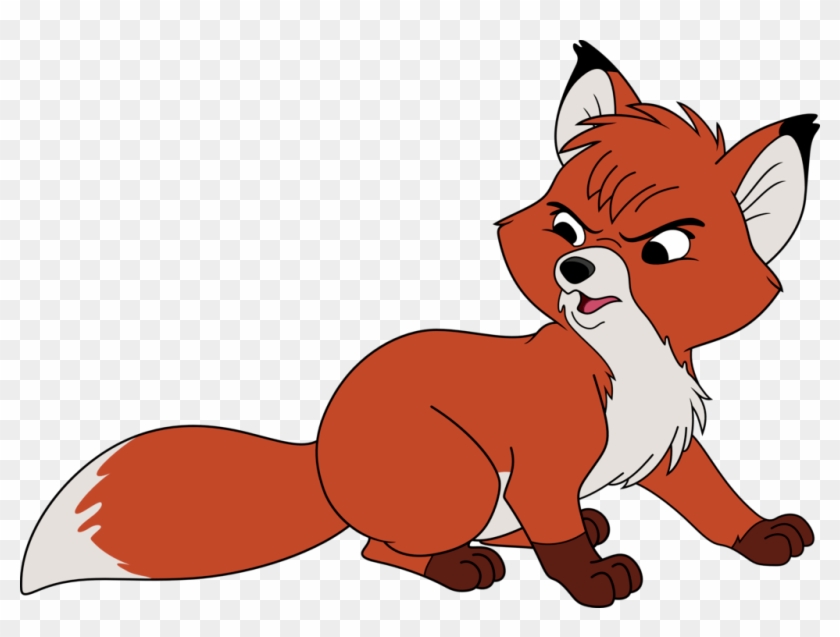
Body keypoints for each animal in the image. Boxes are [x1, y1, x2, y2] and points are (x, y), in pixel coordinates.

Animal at [21, 41, 817, 607]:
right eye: (567, 227)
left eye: (661, 251)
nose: (576, 269)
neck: (627, 367)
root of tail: (320, 456)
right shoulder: (546, 464)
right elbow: (558, 533)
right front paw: (592, 582)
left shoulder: (666, 453)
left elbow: (718, 503)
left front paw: (764, 534)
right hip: (462, 475)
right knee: (381, 549)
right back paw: (463, 566)